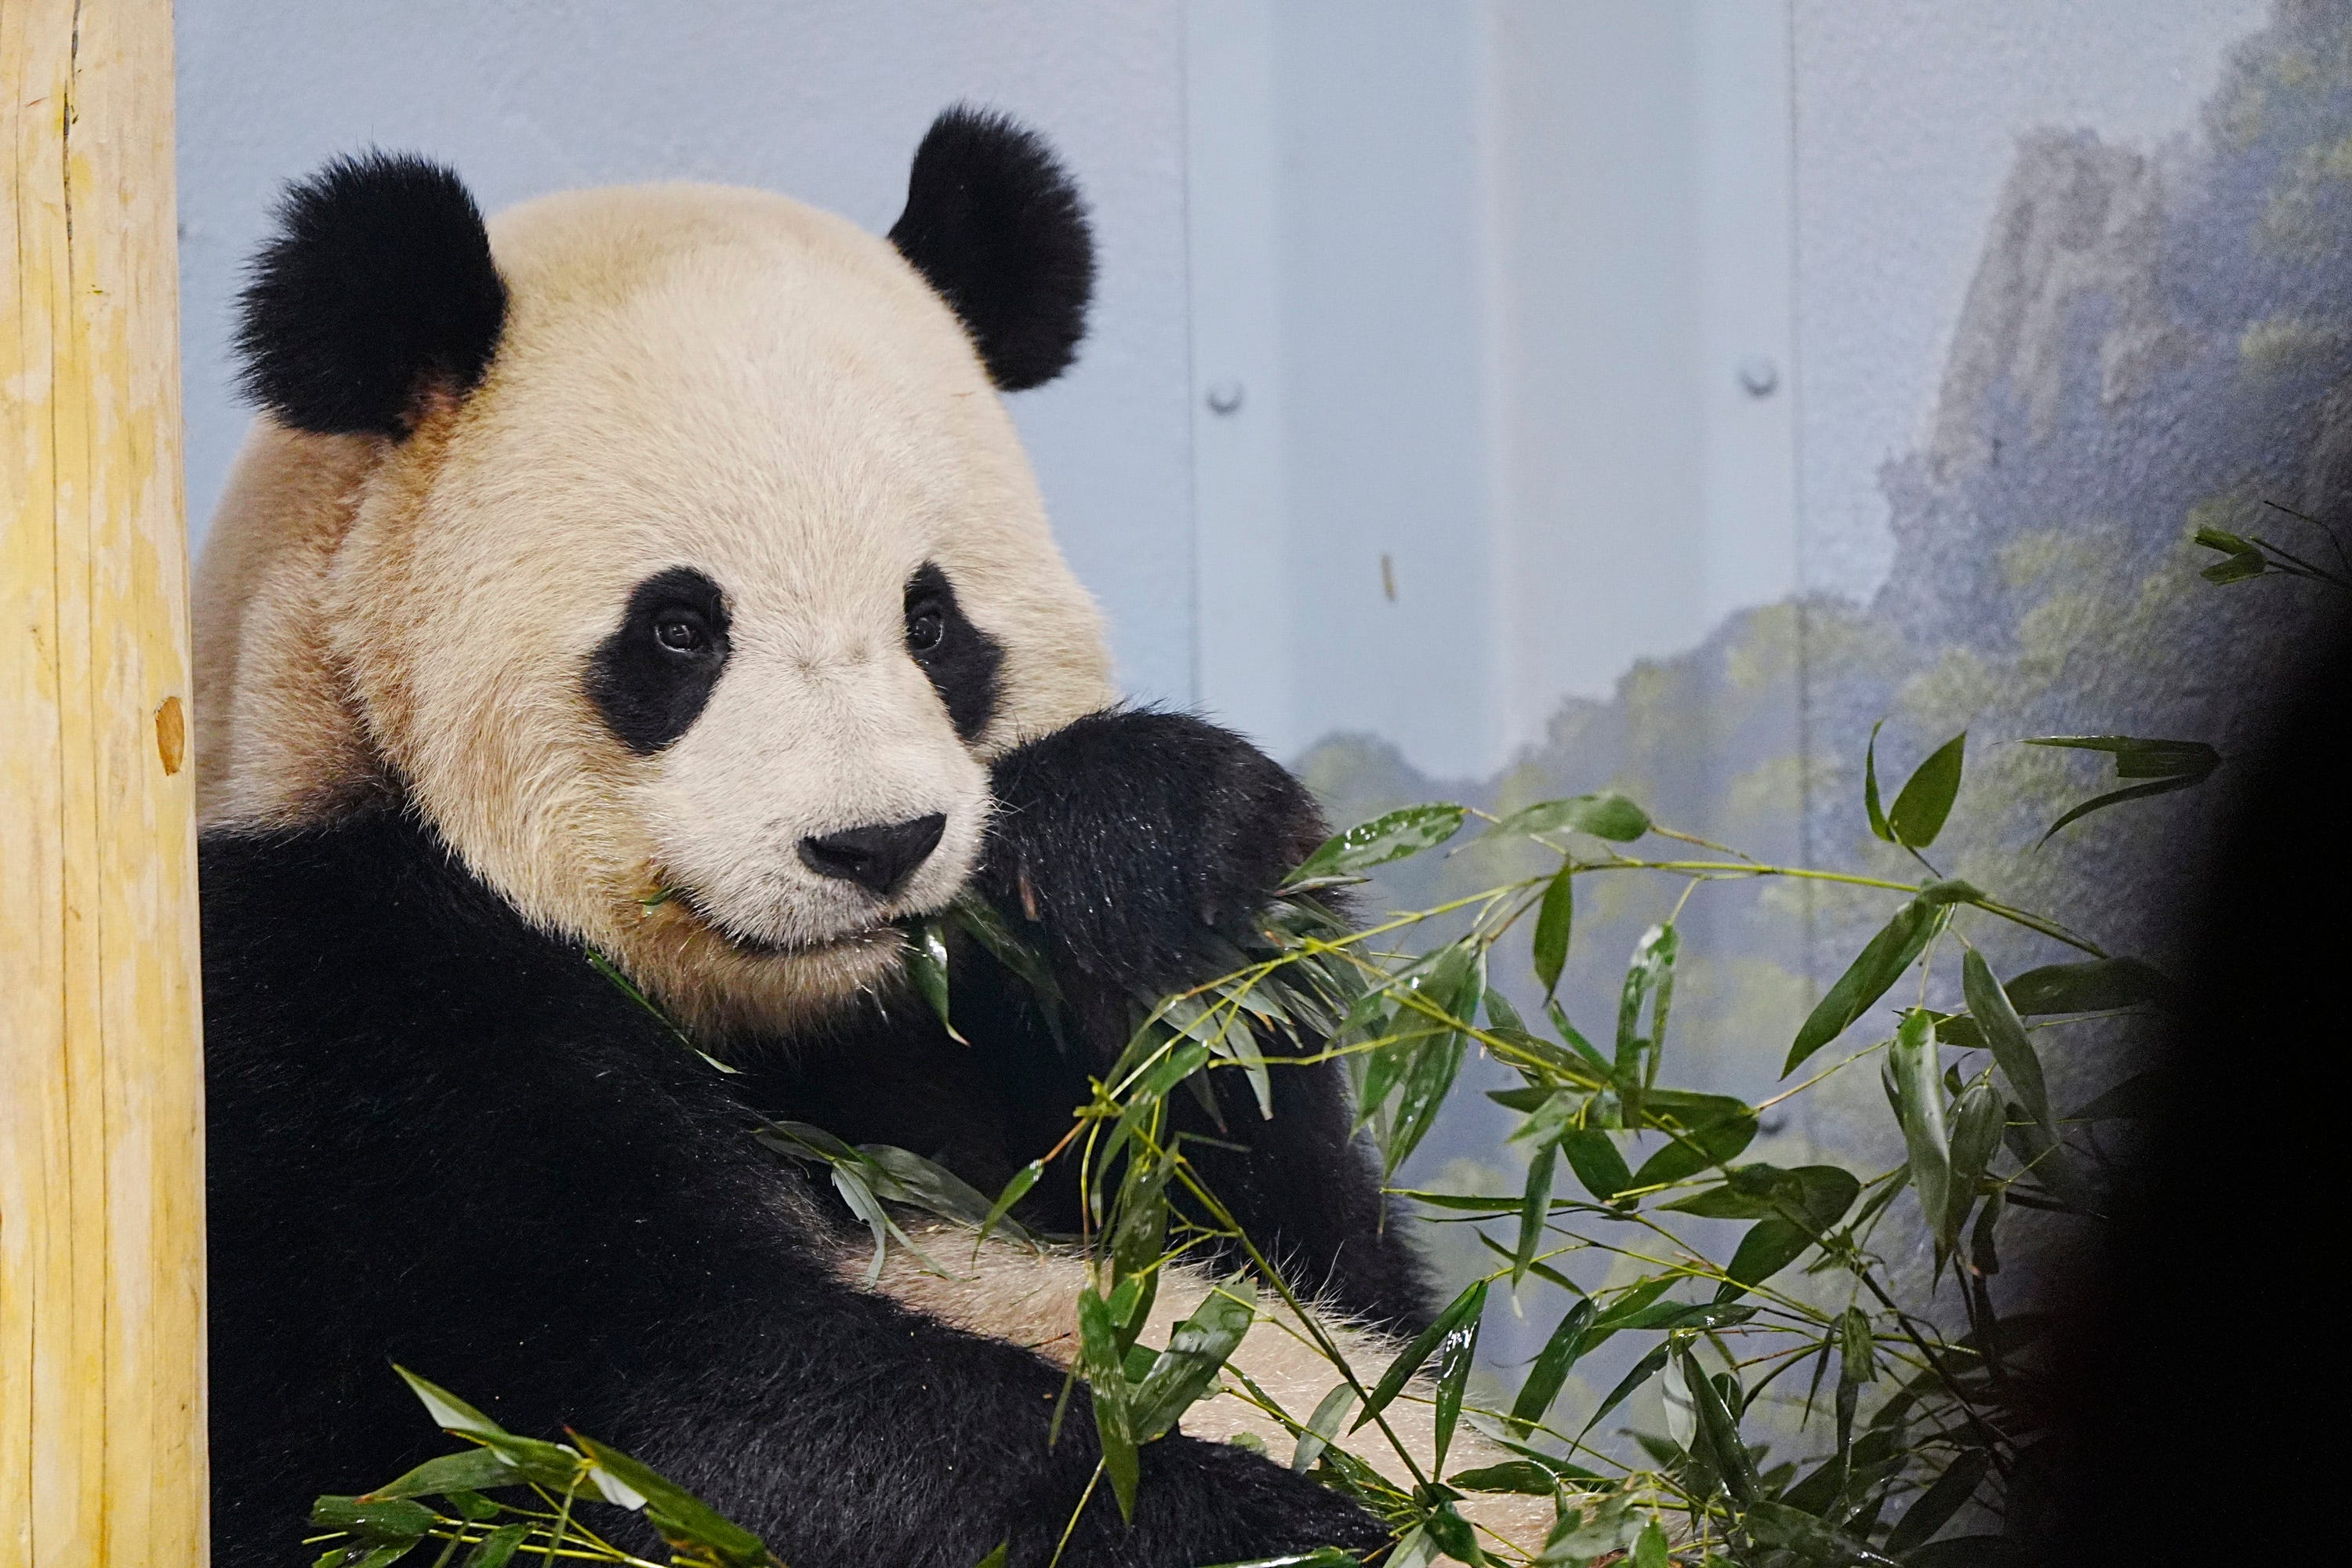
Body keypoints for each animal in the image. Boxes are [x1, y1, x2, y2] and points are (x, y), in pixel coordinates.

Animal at [197, 109, 1553, 1565]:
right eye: (680, 629)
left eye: (932, 619)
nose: (877, 844)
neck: (785, 1026)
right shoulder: (339, 1010)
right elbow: (660, 1403)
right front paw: (1290, 1521)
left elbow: (1343, 1292)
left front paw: (1139, 858)